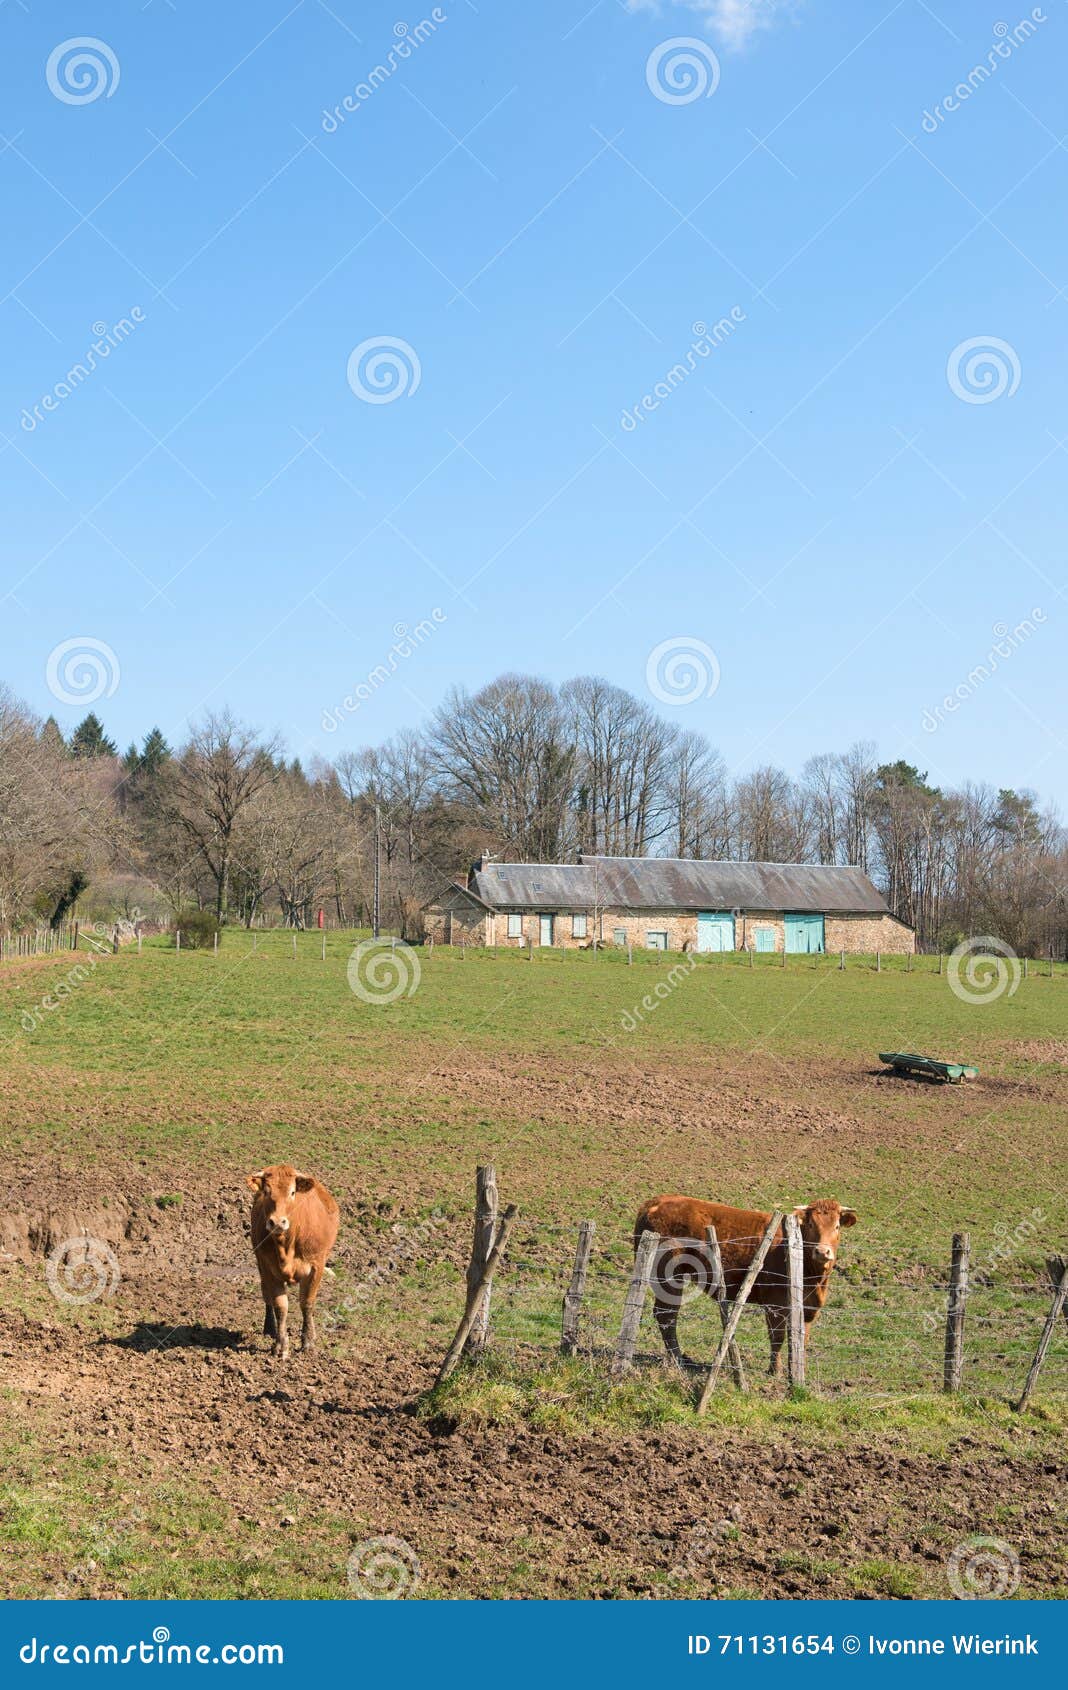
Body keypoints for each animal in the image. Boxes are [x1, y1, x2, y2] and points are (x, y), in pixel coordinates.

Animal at [246, 1165, 340, 1360]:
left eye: (292, 1192)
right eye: (267, 1191)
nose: (277, 1222)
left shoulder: (316, 1266)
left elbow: (307, 1302)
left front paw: (308, 1342)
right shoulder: (268, 1267)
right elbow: (280, 1306)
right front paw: (281, 1345)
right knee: (266, 1294)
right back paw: (270, 1328)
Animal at [634, 1194, 857, 1374]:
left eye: (837, 1226)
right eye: (811, 1225)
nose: (822, 1252)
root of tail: (657, 1201)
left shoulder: (808, 1307)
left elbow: (802, 1338)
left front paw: (799, 1370)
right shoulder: (775, 1303)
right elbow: (777, 1337)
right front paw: (775, 1371)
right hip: (669, 1278)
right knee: (666, 1315)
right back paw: (679, 1360)